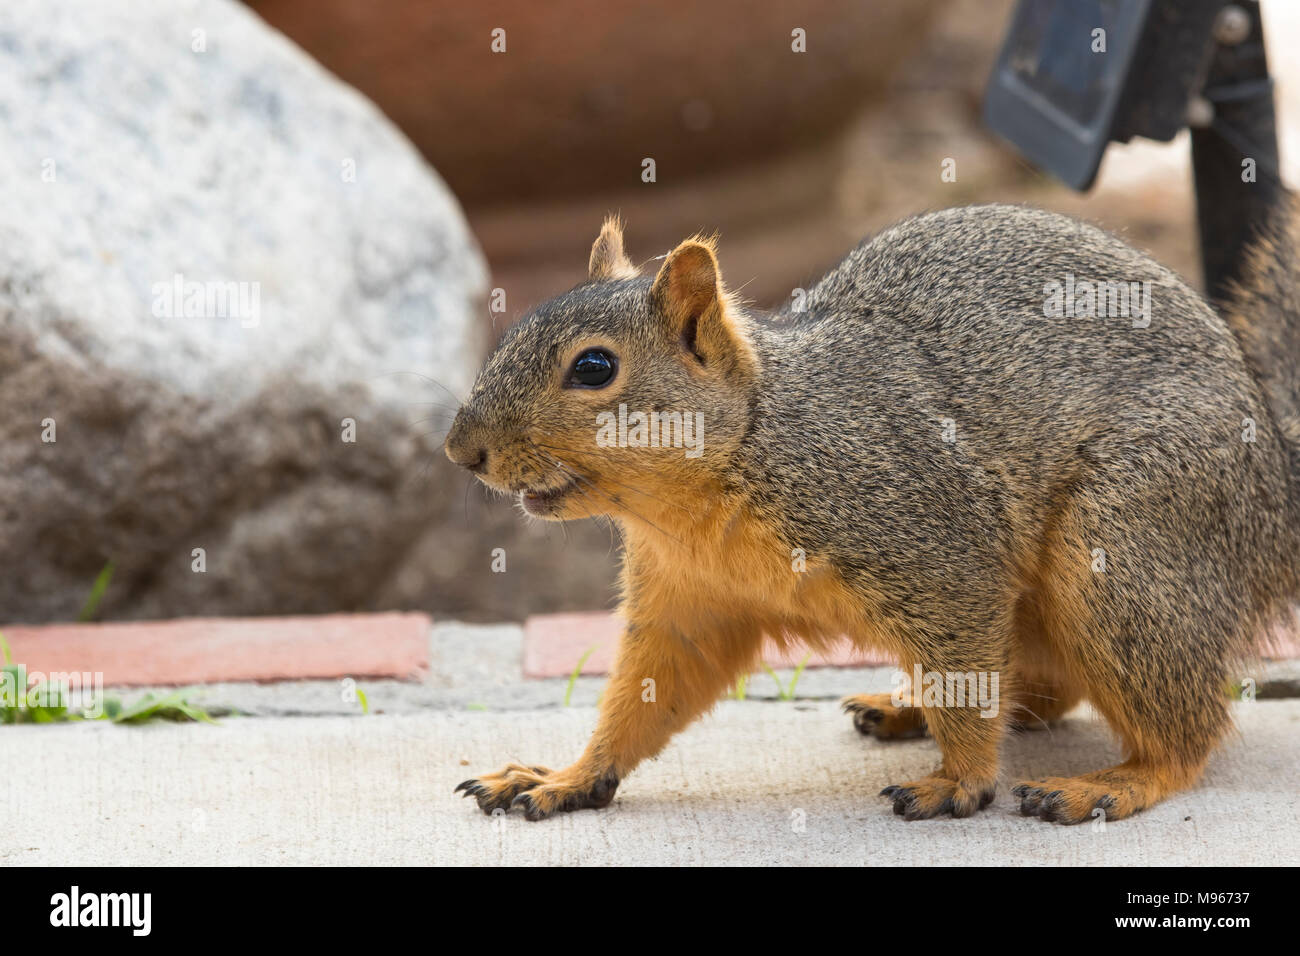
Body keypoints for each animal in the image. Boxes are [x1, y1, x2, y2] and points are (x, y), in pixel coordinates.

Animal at [447, 203, 1300, 823]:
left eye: (594, 367)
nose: (461, 450)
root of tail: (1275, 495)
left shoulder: (943, 556)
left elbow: (965, 670)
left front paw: (959, 782)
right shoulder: (690, 600)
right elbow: (646, 695)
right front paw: (567, 776)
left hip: (1125, 550)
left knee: (1183, 729)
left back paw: (1113, 782)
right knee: (1048, 690)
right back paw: (907, 709)